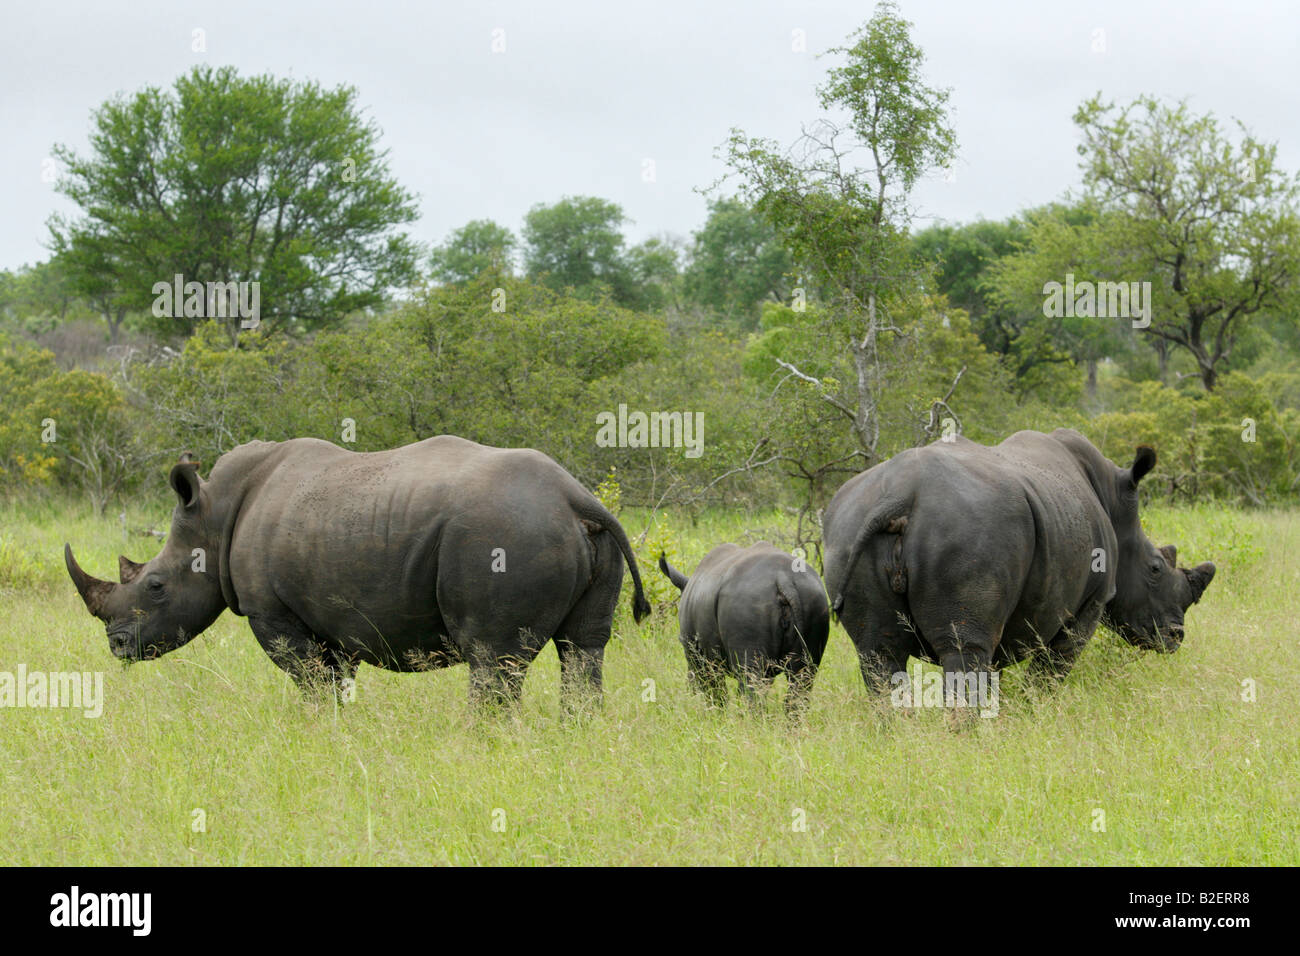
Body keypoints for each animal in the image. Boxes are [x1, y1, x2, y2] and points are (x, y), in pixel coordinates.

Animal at [65, 436, 651, 709]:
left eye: (156, 586)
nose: (117, 646)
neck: (215, 517)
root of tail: (576, 498)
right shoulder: (329, 618)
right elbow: (334, 682)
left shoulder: (272, 614)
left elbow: (310, 684)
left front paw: (315, 734)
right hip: (575, 537)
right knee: (582, 649)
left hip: (505, 534)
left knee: (492, 659)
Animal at [658, 543, 830, 715]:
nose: (689, 690)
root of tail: (784, 578)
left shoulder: (698, 654)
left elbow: (714, 690)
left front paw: (716, 717)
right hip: (813, 597)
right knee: (801, 680)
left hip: (747, 603)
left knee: (751, 681)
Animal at [822, 429, 1215, 697]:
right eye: (1155, 569)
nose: (1176, 636)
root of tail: (900, 495)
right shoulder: (1090, 604)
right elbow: (1049, 672)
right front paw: (1034, 714)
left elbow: (993, 672)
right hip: (969, 527)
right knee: (963, 651)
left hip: (847, 527)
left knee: (879, 654)